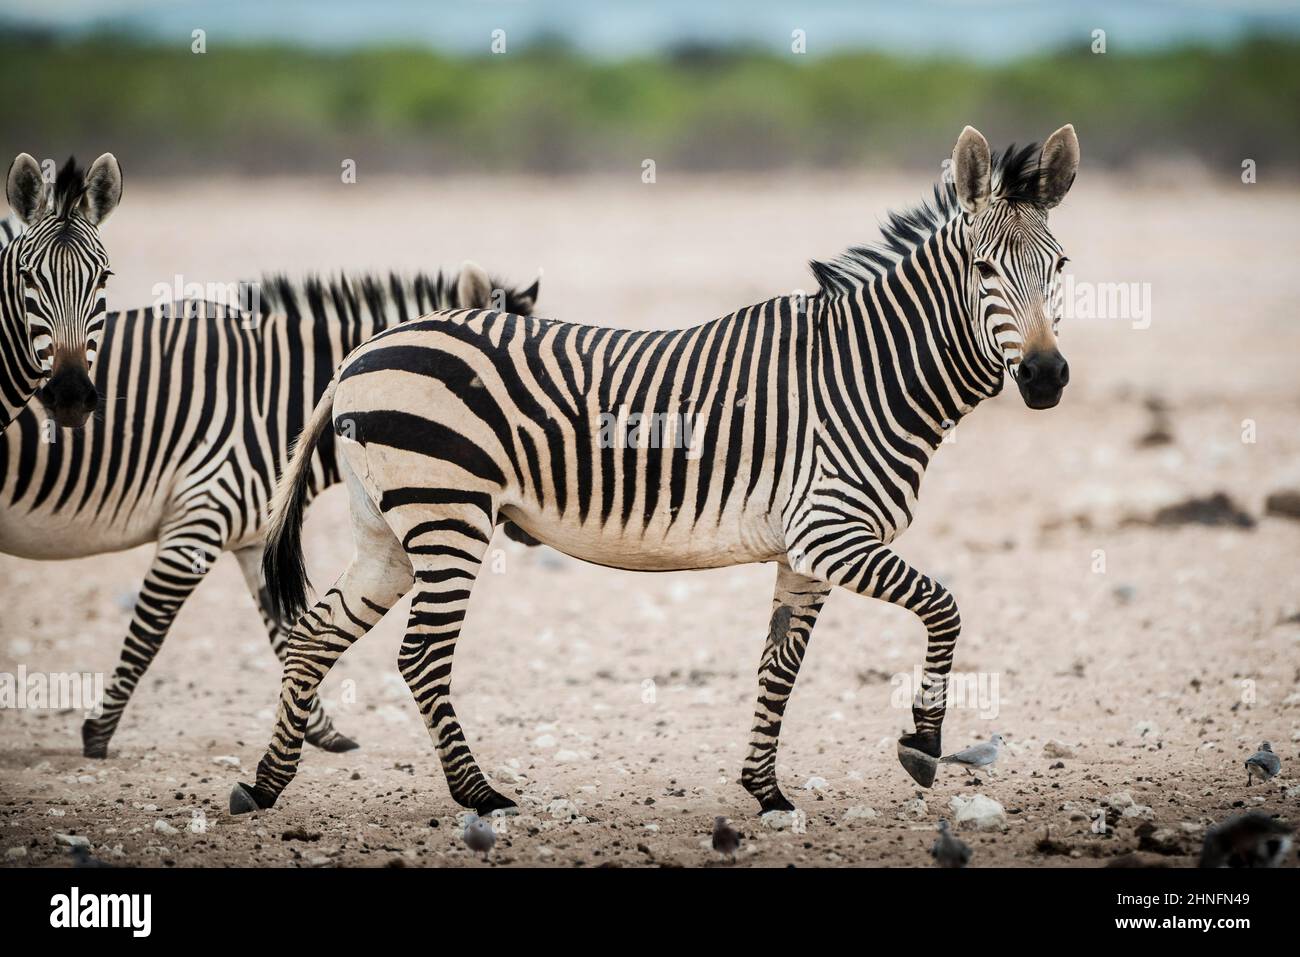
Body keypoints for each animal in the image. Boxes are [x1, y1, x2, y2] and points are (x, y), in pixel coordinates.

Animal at [0, 265, 540, 758]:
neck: (279, 397)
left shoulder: (255, 533)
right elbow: (148, 633)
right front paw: (97, 735)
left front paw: (319, 733)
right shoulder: (197, 520)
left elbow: (288, 625)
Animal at [230, 124, 1080, 817]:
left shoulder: (804, 552)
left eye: (1062, 265)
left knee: (312, 636)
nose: (1045, 378)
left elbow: (779, 667)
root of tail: (359, 353)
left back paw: (263, 785)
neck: (868, 371)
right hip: (449, 514)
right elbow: (945, 607)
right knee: (421, 657)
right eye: (982, 268)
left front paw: (766, 791)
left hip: (387, 530)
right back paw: (479, 793)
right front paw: (924, 744)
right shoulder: (833, 533)